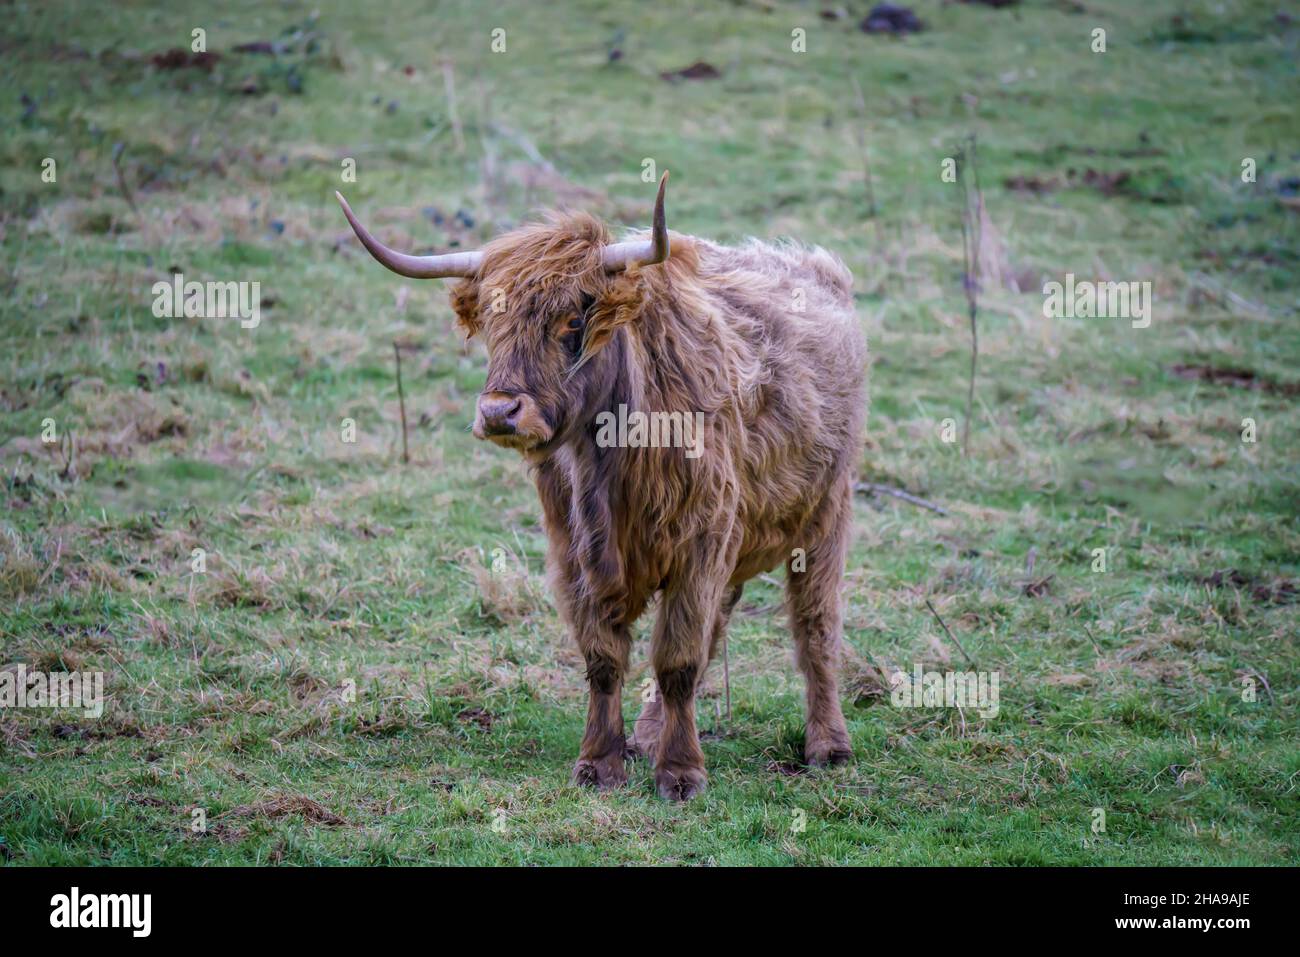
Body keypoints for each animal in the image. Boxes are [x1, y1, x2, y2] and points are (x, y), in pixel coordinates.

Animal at [337, 174, 867, 800]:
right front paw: (600, 762)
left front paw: (680, 773)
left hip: (826, 513)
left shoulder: (700, 542)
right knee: (721, 622)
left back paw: (828, 746)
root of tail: (812, 265)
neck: (608, 465)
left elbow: (678, 658)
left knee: (815, 628)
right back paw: (649, 732)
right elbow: (605, 659)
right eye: (491, 324)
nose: (498, 412)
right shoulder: (574, 554)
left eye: (572, 323)